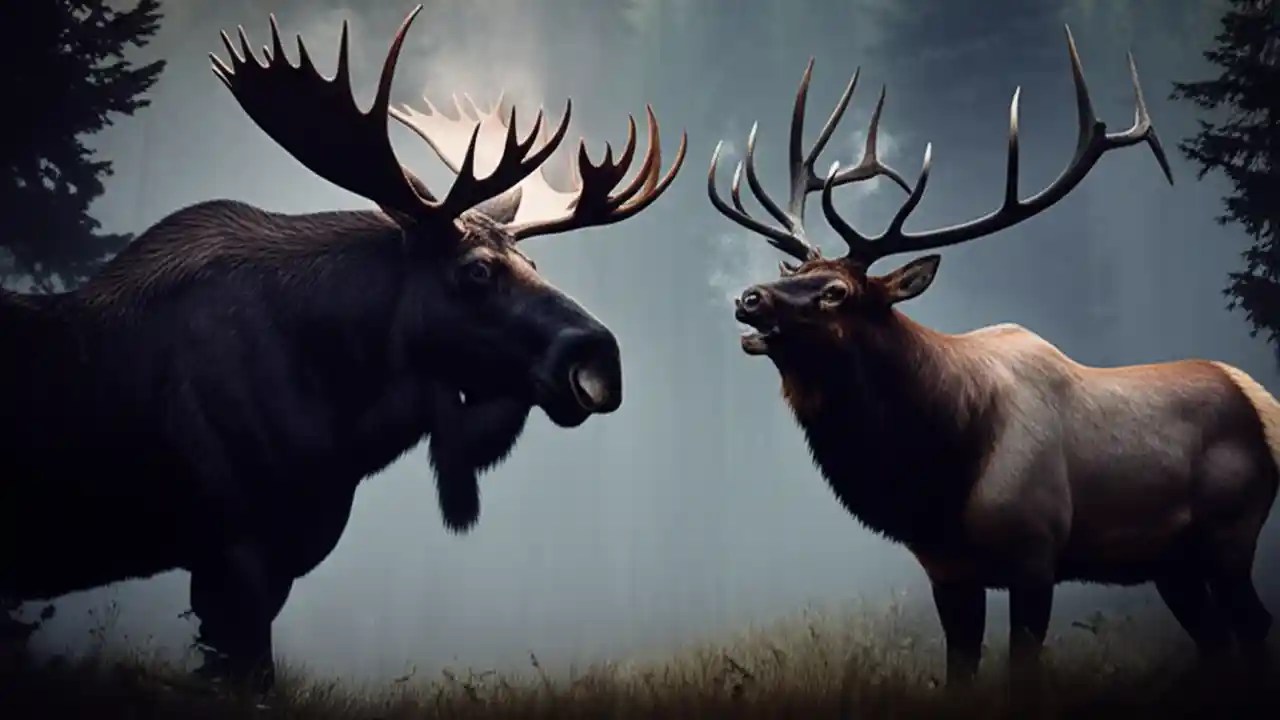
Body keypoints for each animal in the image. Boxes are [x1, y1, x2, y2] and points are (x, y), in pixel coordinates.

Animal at [708, 27, 1278, 696]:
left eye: (837, 292)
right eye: (795, 270)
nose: (749, 298)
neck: (940, 473)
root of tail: (1259, 400)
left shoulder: (1036, 553)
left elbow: (1022, 672)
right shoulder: (947, 569)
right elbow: (960, 673)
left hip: (1230, 532)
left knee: (1254, 624)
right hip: (1174, 564)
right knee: (1215, 639)